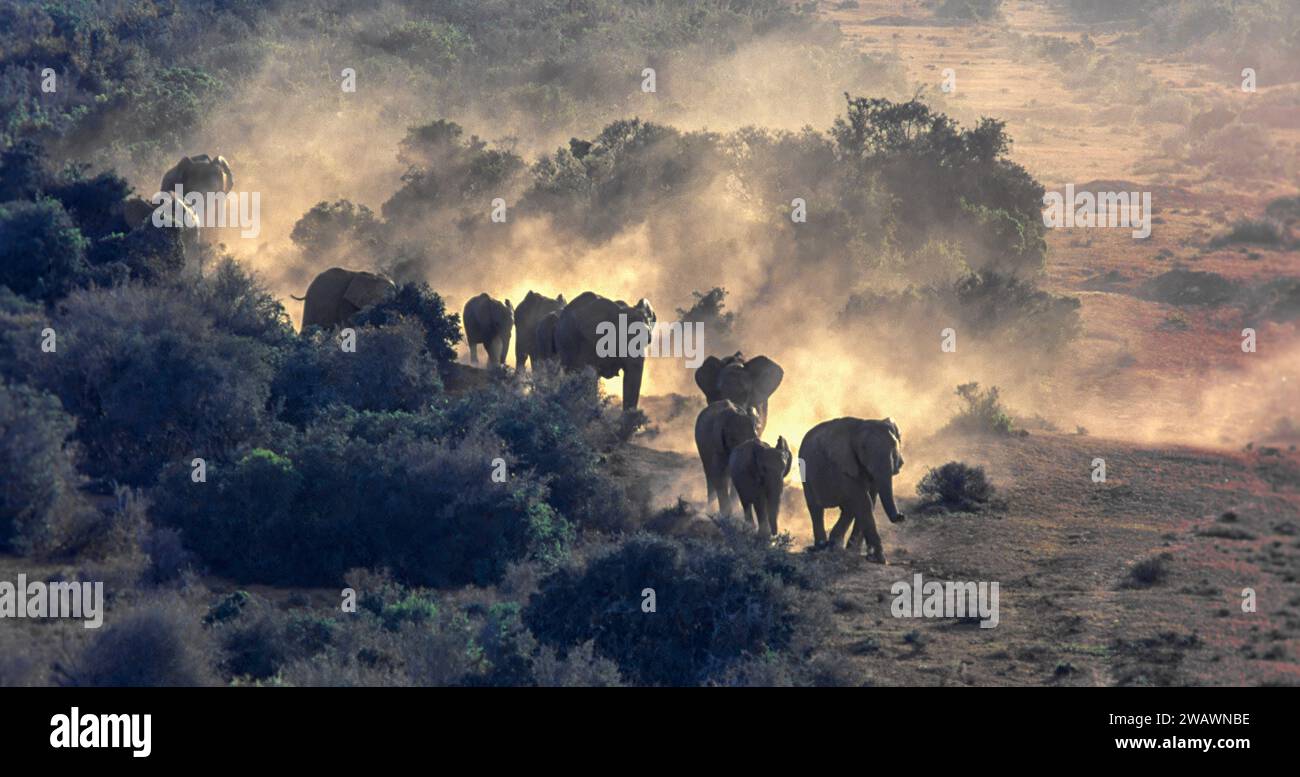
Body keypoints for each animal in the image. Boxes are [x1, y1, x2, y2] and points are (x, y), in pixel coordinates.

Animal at [799, 417, 905, 563]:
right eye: (863, 448)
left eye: (894, 446)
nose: (901, 516)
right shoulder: (844, 464)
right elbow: (864, 502)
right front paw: (880, 559)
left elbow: (869, 500)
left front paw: (859, 554)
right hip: (806, 475)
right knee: (816, 509)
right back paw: (821, 547)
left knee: (848, 508)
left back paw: (835, 546)